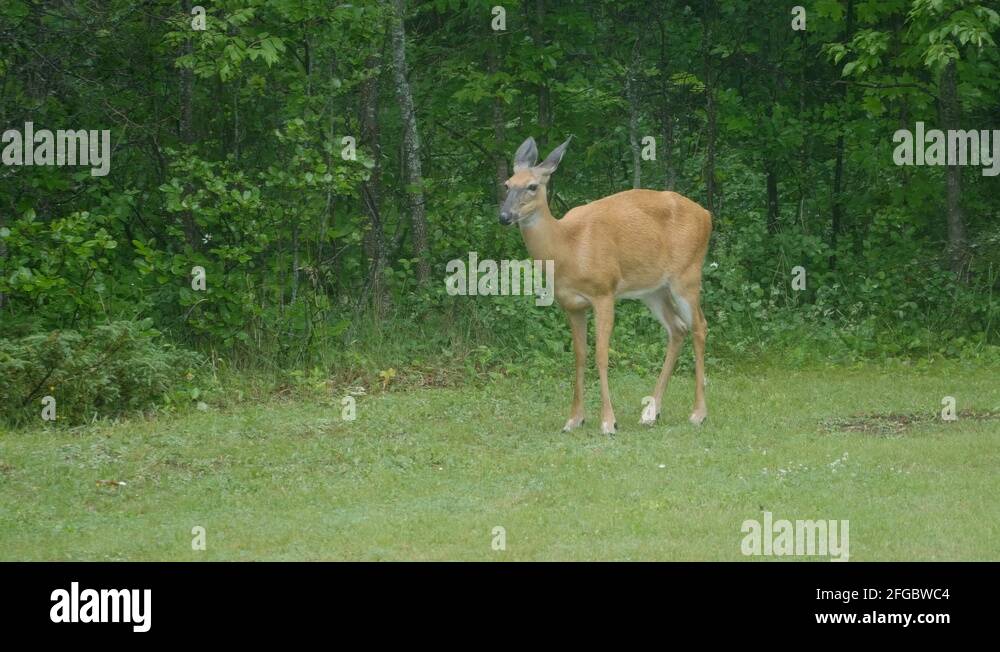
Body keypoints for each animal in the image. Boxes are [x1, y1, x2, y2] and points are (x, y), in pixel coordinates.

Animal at [500, 136, 712, 435]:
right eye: (507, 184)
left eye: (532, 186)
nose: (504, 216)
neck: (567, 248)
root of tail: (707, 214)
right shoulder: (571, 304)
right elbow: (579, 356)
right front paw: (574, 420)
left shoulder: (604, 291)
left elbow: (601, 354)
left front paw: (608, 422)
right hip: (653, 290)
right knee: (678, 329)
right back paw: (651, 413)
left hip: (687, 275)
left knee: (699, 327)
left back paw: (698, 414)